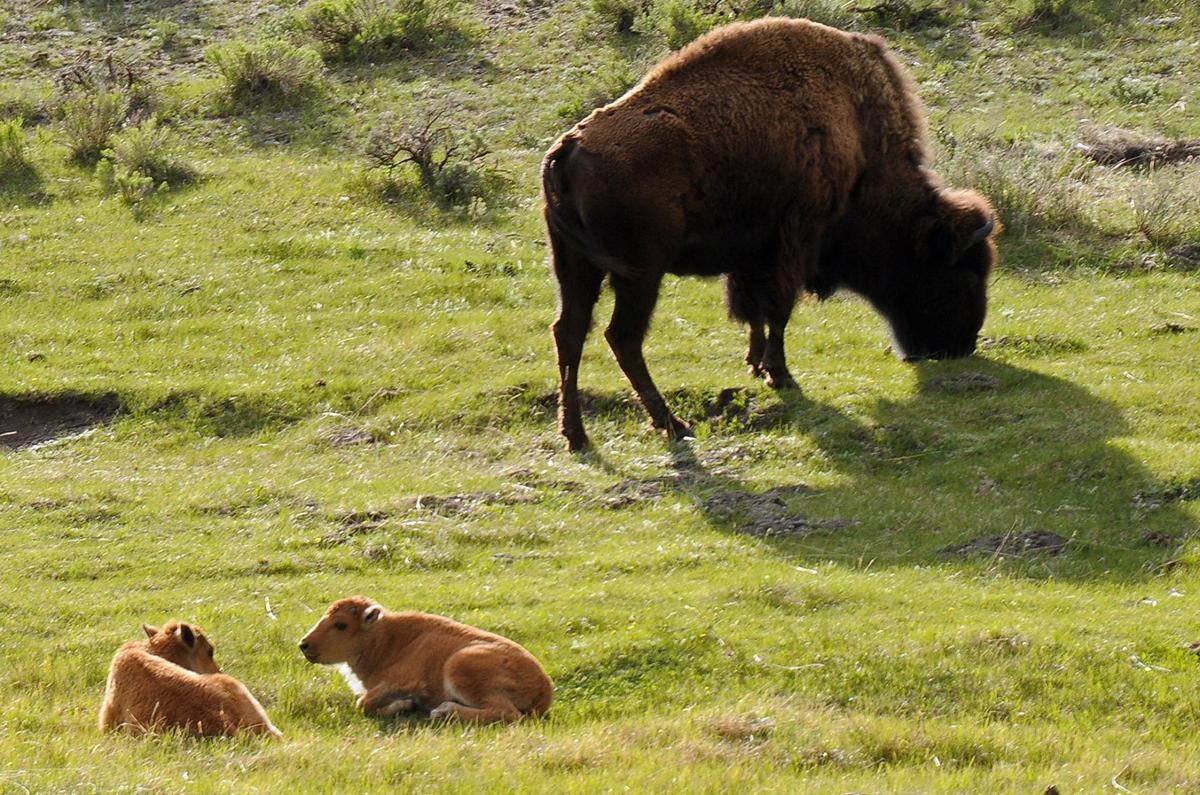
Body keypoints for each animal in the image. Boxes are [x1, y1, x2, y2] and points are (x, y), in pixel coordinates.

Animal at [299, 596, 553, 724]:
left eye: (340, 624)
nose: (304, 645)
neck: (386, 639)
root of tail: (544, 685)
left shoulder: (402, 682)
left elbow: (362, 703)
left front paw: (407, 704)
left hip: (460, 666)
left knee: (507, 713)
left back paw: (442, 712)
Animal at [541, 17, 998, 451]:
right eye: (964, 275)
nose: (961, 347)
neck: (858, 135)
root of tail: (569, 148)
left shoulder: (752, 255)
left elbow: (753, 311)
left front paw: (755, 362)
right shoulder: (794, 243)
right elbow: (778, 310)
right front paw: (781, 375)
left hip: (576, 268)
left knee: (570, 332)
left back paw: (576, 435)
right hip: (639, 275)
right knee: (622, 338)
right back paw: (673, 425)